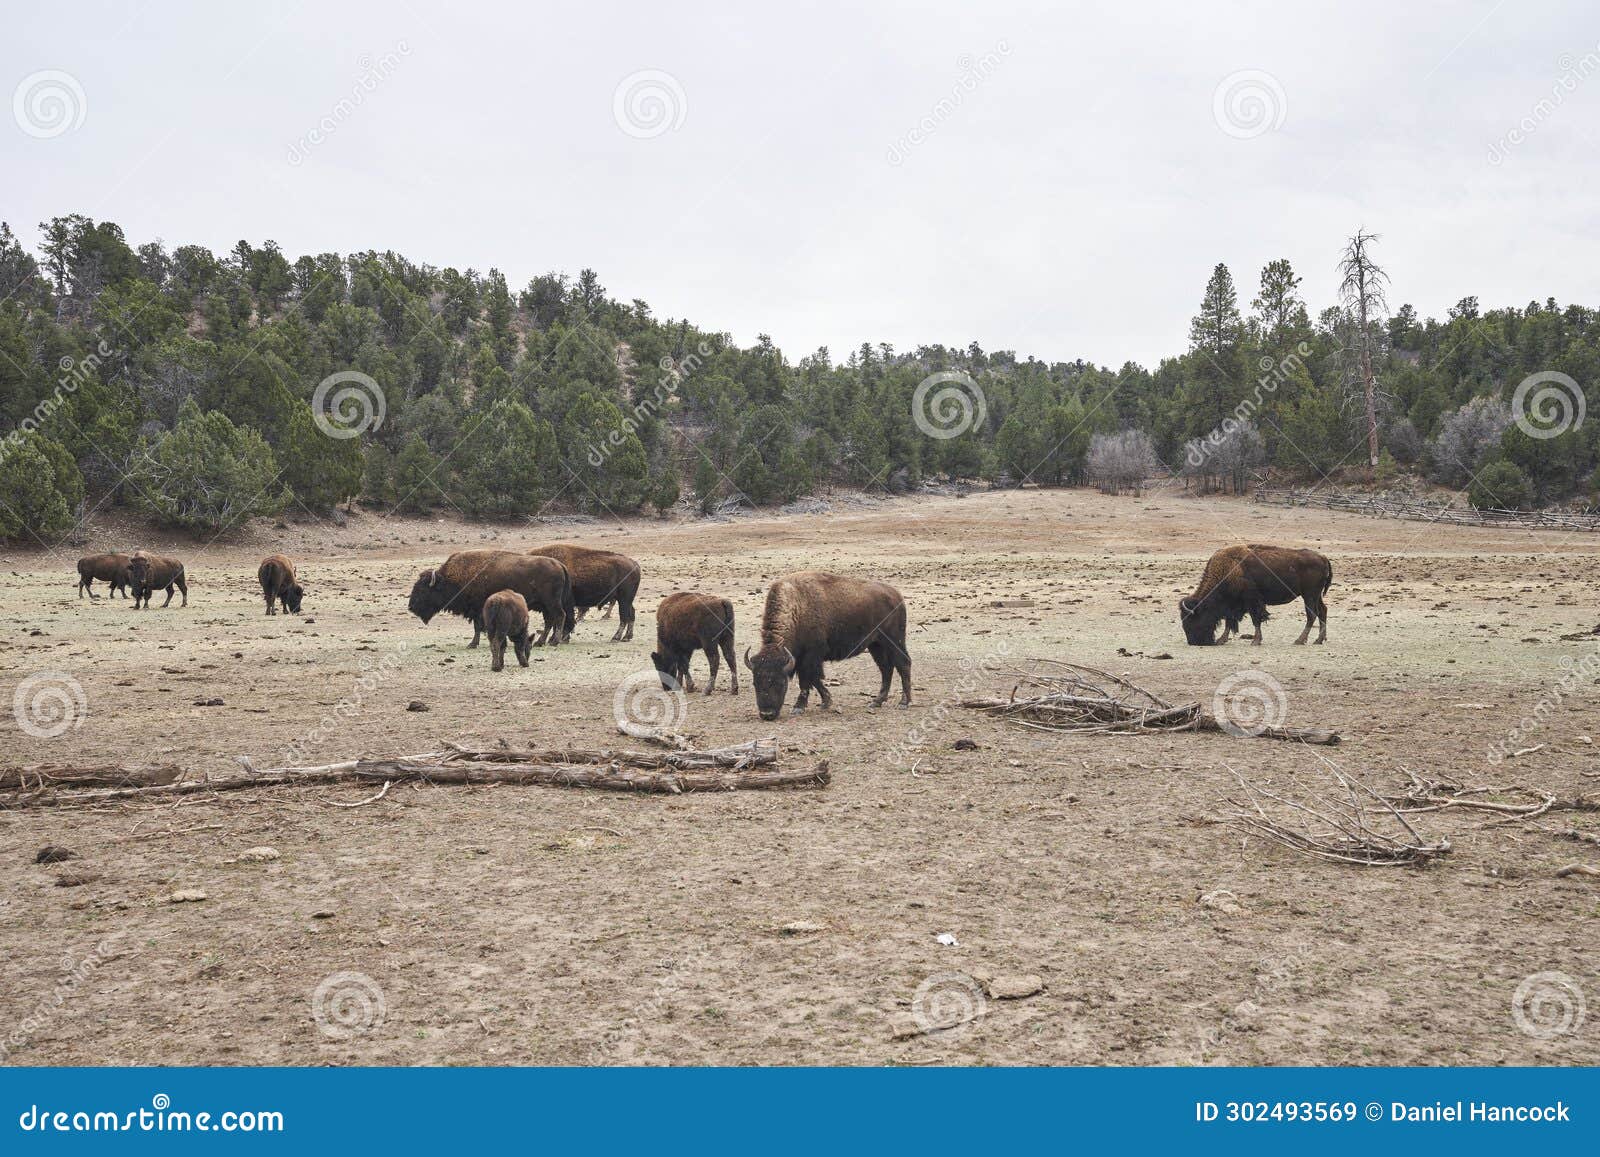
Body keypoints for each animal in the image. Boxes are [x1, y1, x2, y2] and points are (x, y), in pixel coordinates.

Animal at [409, 549, 575, 647]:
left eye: (422, 589)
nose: (411, 607)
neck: (452, 579)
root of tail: (560, 564)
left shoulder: (477, 609)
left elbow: (477, 626)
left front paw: (472, 644)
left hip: (552, 603)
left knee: (560, 616)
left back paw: (554, 641)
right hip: (545, 605)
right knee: (550, 621)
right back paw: (540, 642)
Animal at [744, 571, 911, 721]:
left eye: (780, 682)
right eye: (755, 682)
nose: (767, 714)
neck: (797, 609)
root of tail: (897, 596)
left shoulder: (810, 656)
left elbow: (806, 681)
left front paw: (798, 707)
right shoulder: (803, 660)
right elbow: (815, 679)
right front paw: (826, 702)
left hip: (894, 641)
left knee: (903, 664)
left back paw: (904, 702)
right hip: (876, 645)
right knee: (886, 668)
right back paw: (876, 702)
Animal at [1179, 544, 1332, 646]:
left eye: (1192, 619)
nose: (1193, 642)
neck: (1228, 569)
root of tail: (1323, 558)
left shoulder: (1252, 601)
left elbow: (1256, 619)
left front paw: (1255, 641)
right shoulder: (1233, 605)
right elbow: (1230, 622)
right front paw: (1221, 640)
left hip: (1309, 595)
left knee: (1312, 615)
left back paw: (1299, 640)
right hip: (1316, 596)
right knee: (1322, 611)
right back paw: (1318, 640)